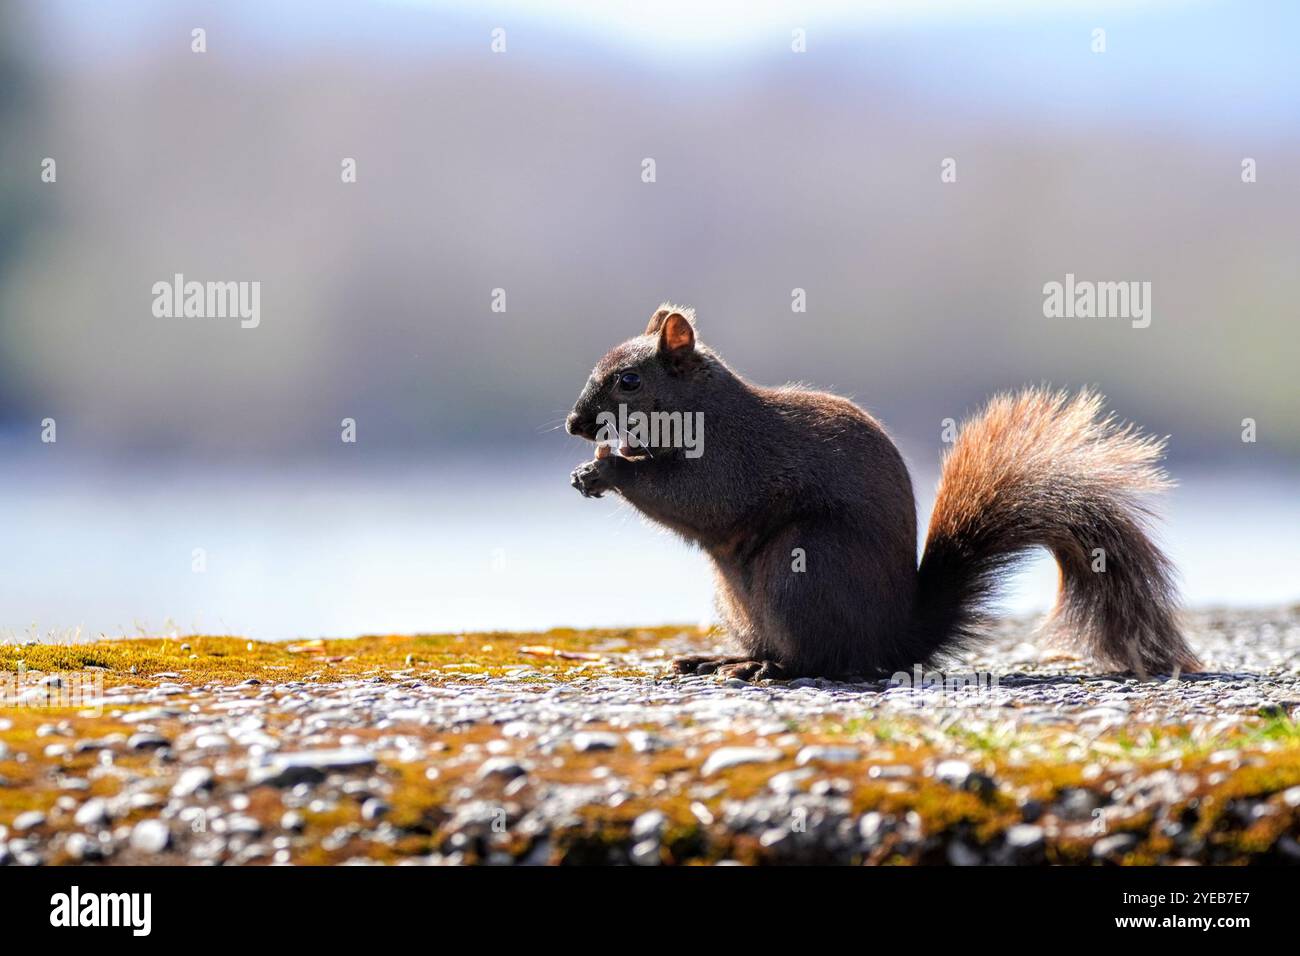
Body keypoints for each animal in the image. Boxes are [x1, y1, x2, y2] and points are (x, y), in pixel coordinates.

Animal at [567, 304, 1200, 681]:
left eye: (629, 381)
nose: (576, 424)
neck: (703, 408)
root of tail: (893, 640)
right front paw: (589, 470)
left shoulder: (734, 461)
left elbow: (698, 499)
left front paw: (609, 469)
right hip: (740, 601)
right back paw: (721, 658)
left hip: (805, 567)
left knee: (821, 660)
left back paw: (771, 672)